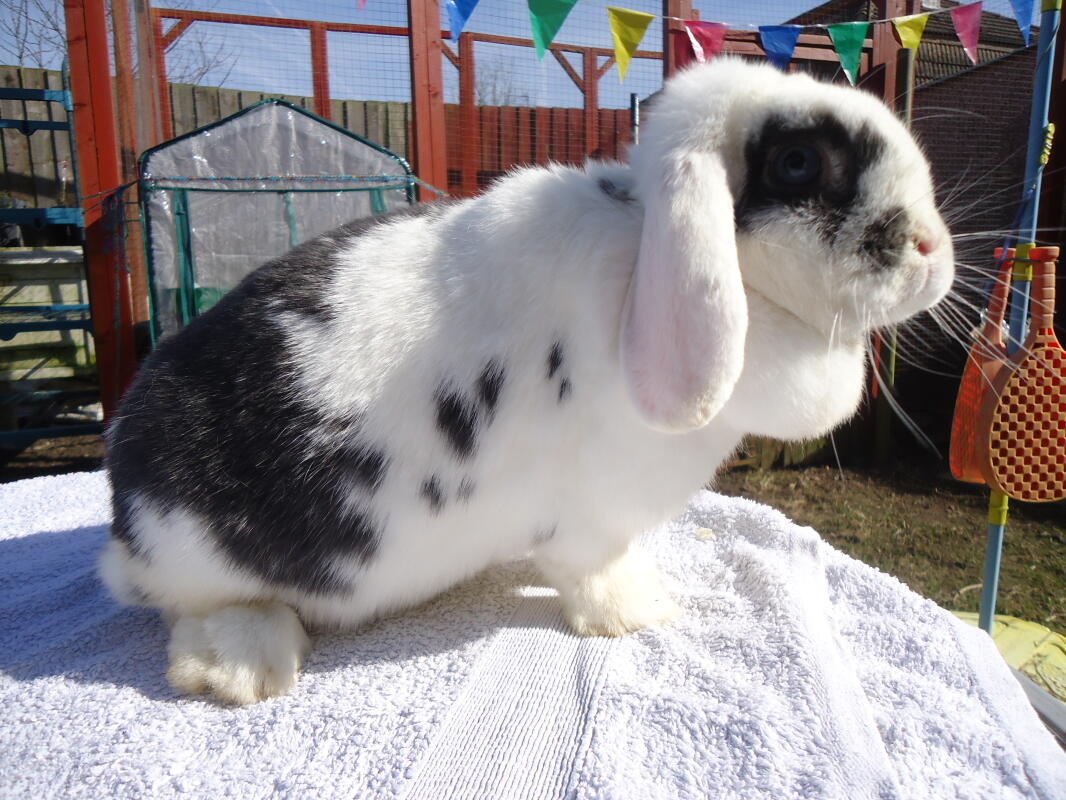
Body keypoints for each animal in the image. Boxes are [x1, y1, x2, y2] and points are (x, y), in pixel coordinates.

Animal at [99, 58, 955, 705]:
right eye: (799, 162)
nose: (929, 251)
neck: (644, 256)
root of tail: (123, 503)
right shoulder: (592, 515)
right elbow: (595, 573)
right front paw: (642, 612)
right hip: (199, 560)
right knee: (191, 605)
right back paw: (242, 668)